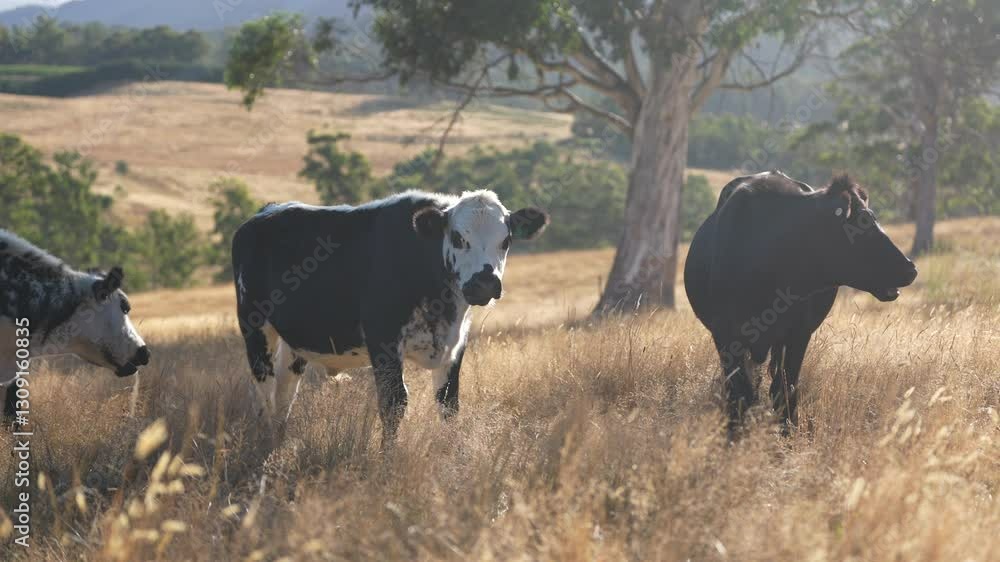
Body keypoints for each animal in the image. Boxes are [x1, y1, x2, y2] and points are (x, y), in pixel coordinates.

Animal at [231, 190, 549, 442]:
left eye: (506, 240)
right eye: (458, 238)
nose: (484, 282)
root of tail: (267, 210)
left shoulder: (456, 343)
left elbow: (449, 403)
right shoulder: (383, 340)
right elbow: (393, 404)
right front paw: (387, 459)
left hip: (296, 341)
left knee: (284, 393)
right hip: (255, 327)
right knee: (264, 389)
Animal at [683, 171, 918, 433]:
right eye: (862, 224)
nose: (910, 269)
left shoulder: (798, 334)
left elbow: (785, 388)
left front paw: (788, 432)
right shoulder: (726, 336)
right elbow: (739, 392)